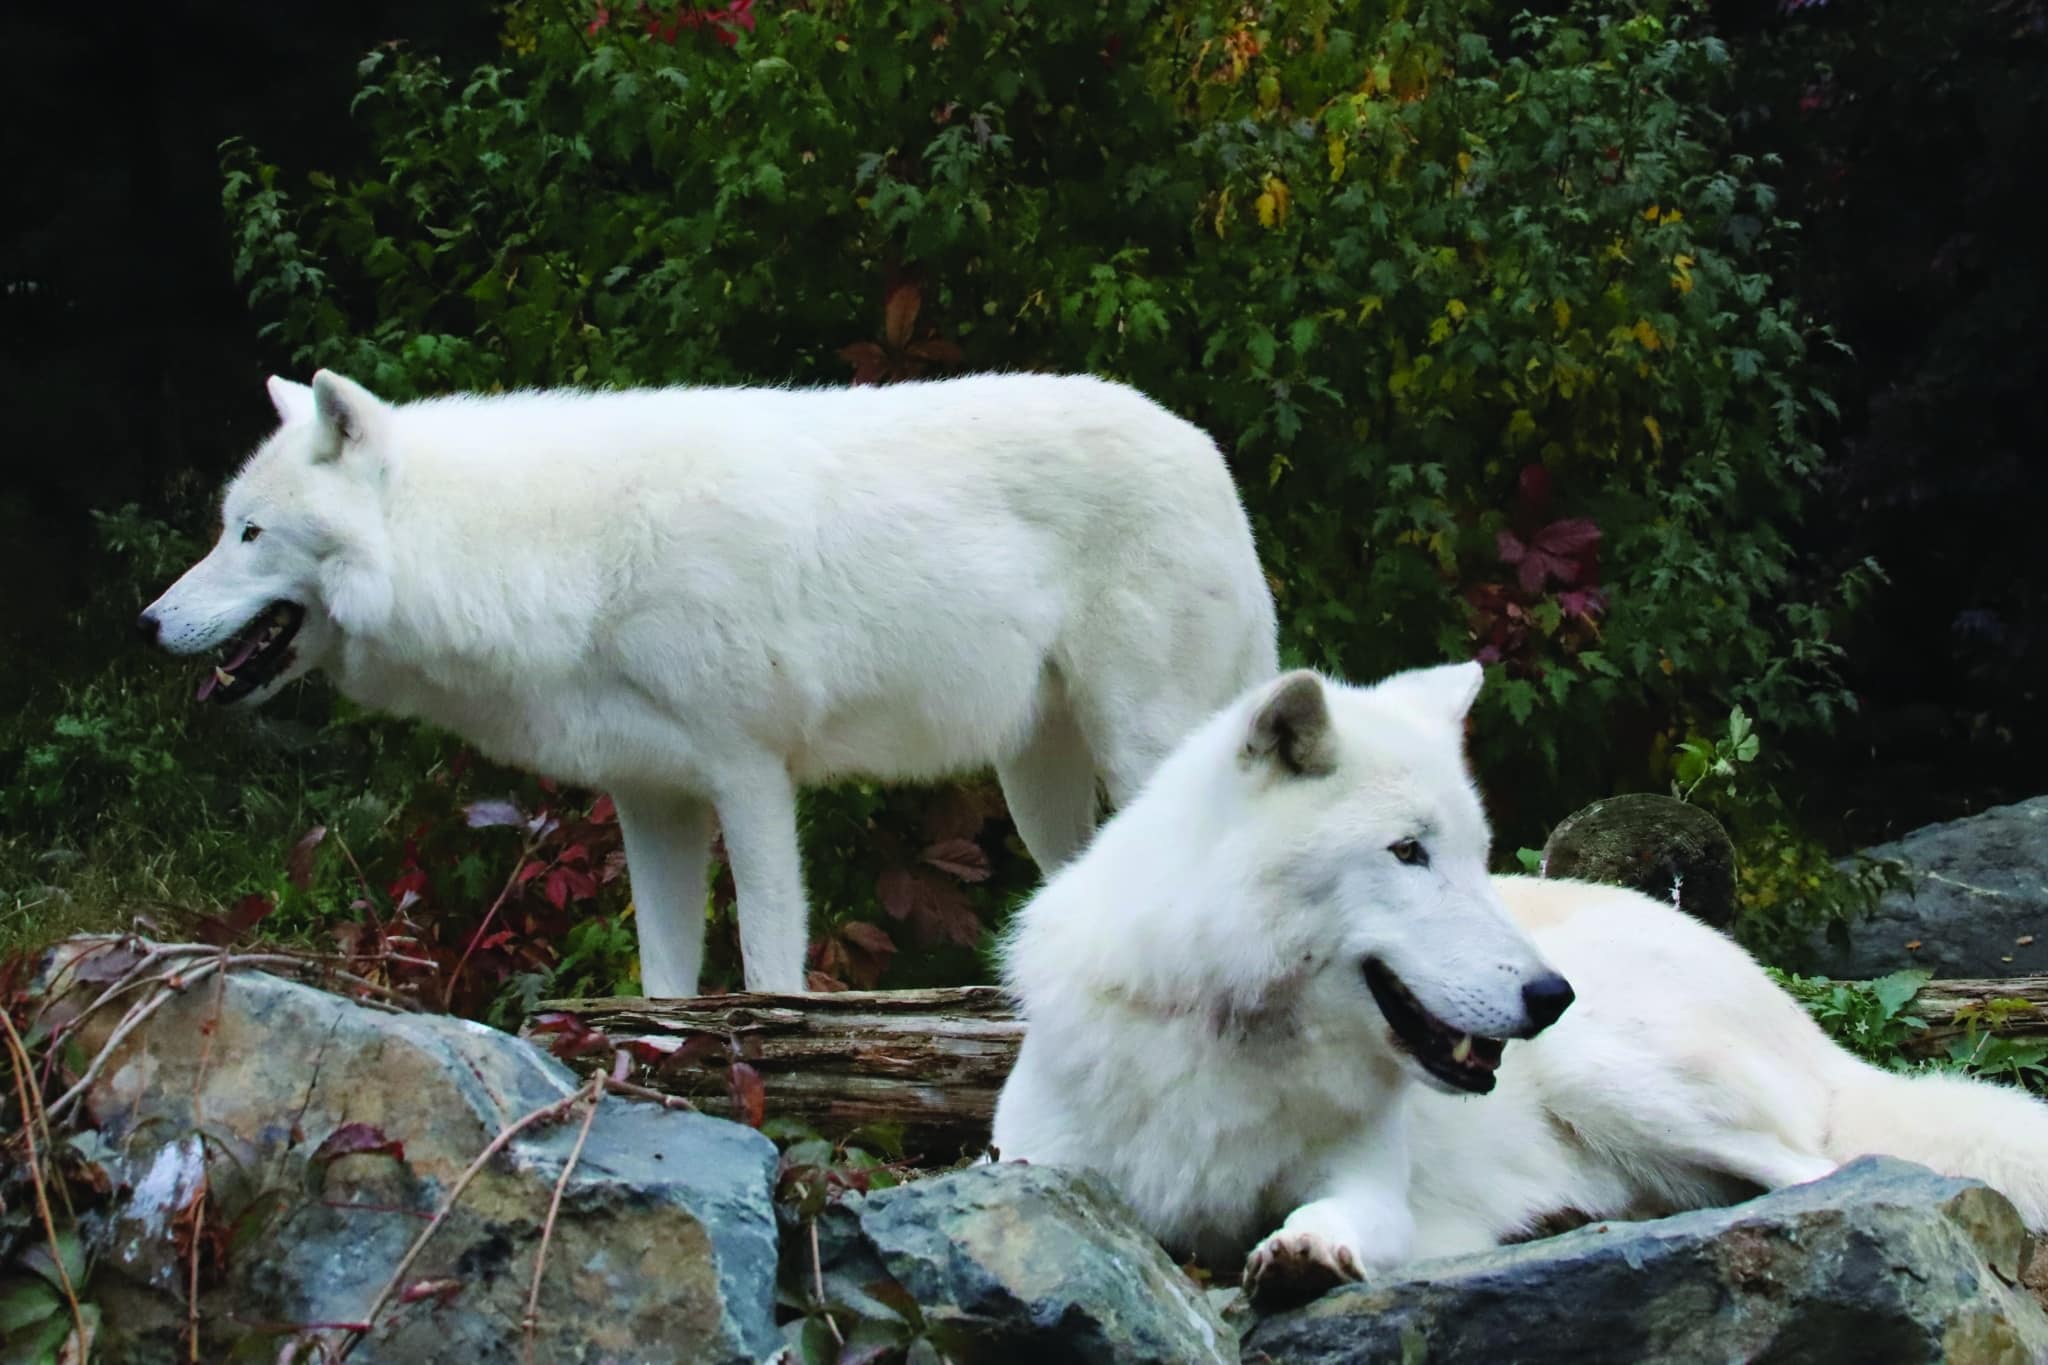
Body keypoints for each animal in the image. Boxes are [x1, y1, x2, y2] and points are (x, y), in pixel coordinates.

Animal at [139, 370, 1277, 996]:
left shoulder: (751, 779)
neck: (550, 554)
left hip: (1140, 750)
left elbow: (769, 969)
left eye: (250, 534)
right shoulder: (653, 802)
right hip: (1037, 785)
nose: (148, 622)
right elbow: (665, 987)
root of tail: (1209, 455)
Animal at [991, 663, 2048, 1300]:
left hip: (1618, 1079)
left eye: (1477, 854)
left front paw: (1303, 1251)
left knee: (1840, 1170)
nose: (1553, 995)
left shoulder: (1370, 1183)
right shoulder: (1032, 1167)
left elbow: (1331, 1215)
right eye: (1408, 852)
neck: (1229, 1031)